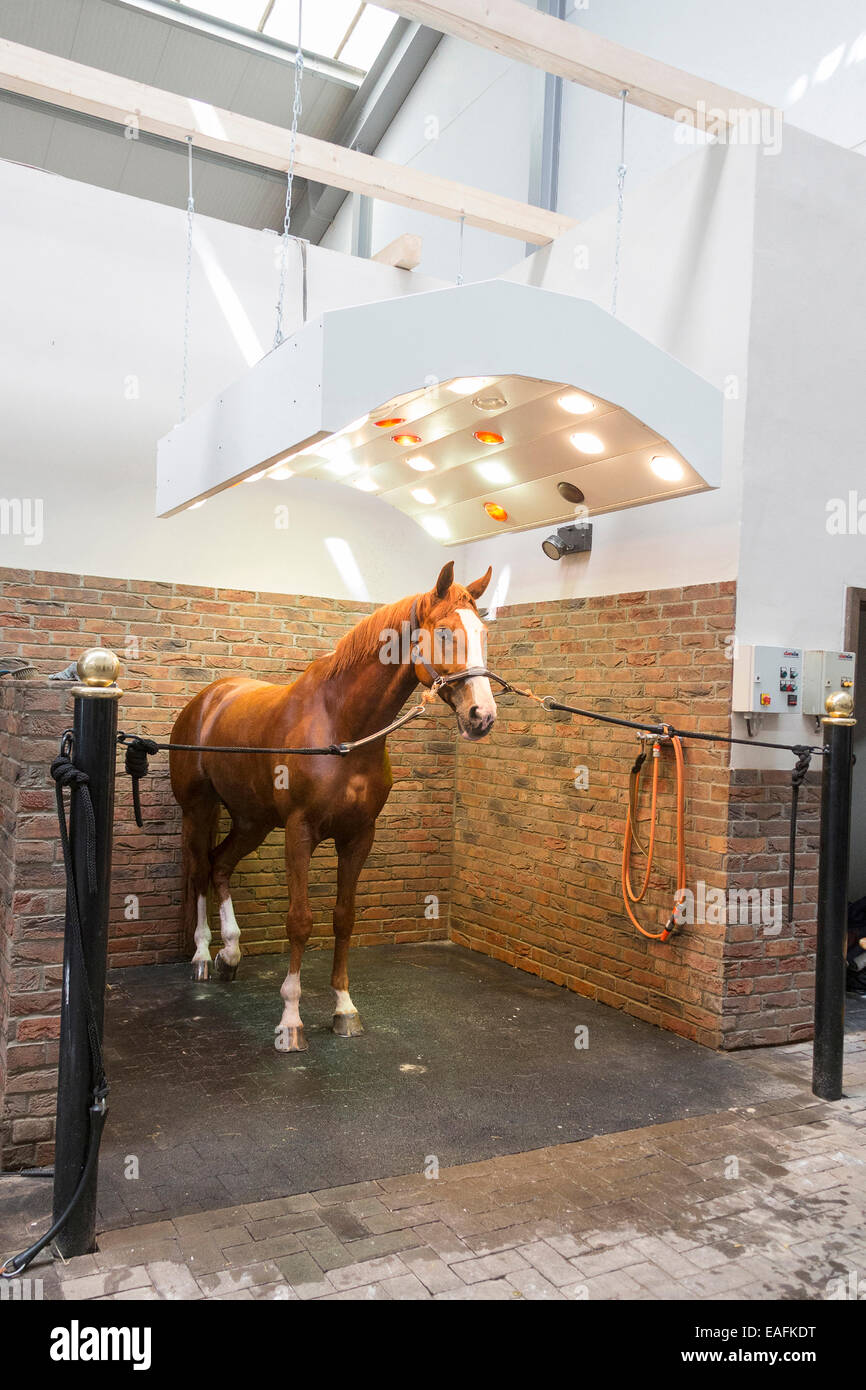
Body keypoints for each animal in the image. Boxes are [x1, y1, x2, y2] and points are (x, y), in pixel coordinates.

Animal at [169, 561, 496, 1052]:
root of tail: (206, 700)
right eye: (443, 632)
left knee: (220, 865)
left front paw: (344, 1008)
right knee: (200, 870)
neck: (342, 727)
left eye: (483, 633)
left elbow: (344, 918)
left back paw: (231, 952)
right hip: (200, 810)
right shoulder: (299, 831)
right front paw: (290, 1021)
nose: (482, 715)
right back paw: (203, 956)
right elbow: (300, 921)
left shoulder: (359, 835)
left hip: (252, 821)